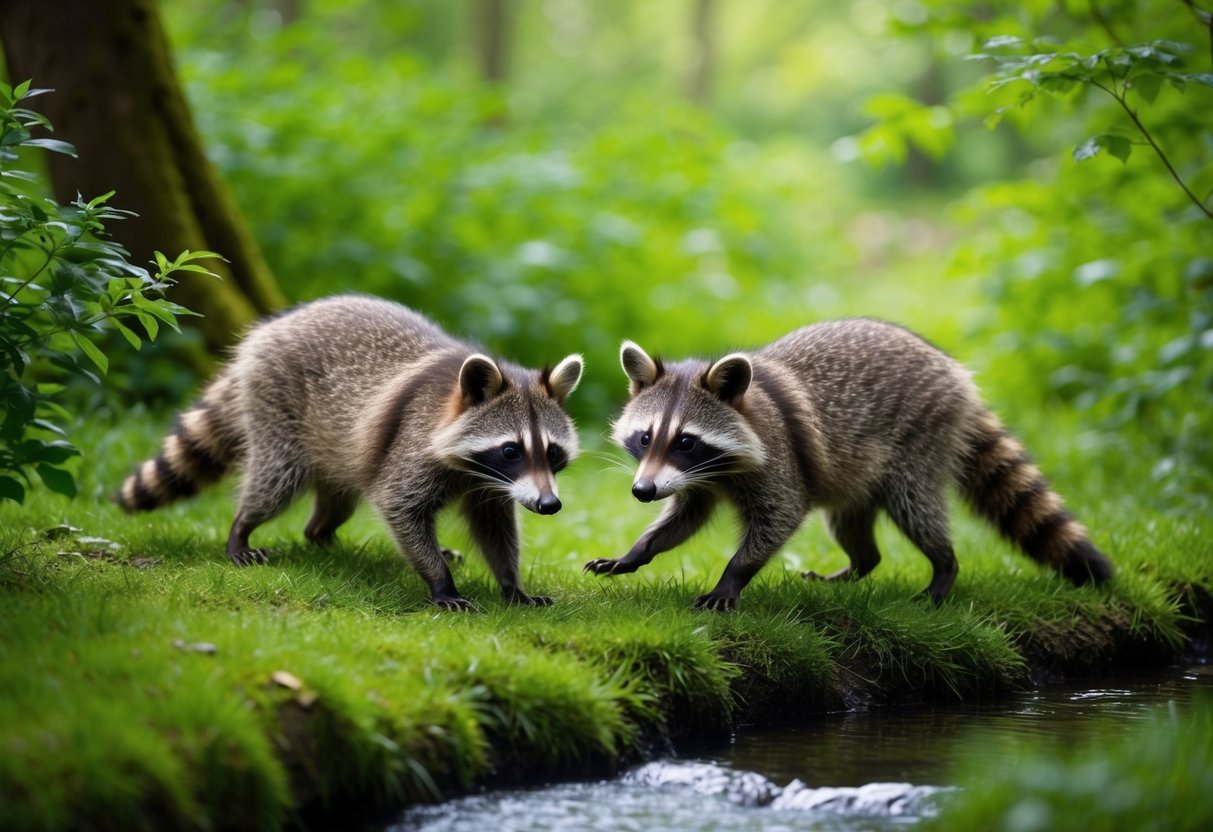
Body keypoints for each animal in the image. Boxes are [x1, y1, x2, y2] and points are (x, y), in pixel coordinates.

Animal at [118, 295, 583, 610]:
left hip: (336, 451)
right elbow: (399, 505)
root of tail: (268, 329)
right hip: (278, 408)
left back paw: (323, 536)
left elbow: (495, 527)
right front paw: (440, 580)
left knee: (337, 503)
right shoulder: (411, 446)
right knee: (274, 482)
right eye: (511, 450)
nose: (550, 505)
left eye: (552, 453)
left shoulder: (489, 485)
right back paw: (242, 528)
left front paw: (511, 583)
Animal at [585, 319, 1113, 610]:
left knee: (917, 509)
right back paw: (858, 566)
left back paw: (944, 567)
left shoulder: (779, 460)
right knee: (850, 524)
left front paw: (733, 575)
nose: (641, 492)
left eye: (686, 441)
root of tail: (956, 373)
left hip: (919, 440)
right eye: (646, 437)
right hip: (857, 475)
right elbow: (684, 517)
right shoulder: (692, 481)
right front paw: (637, 550)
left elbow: (780, 517)